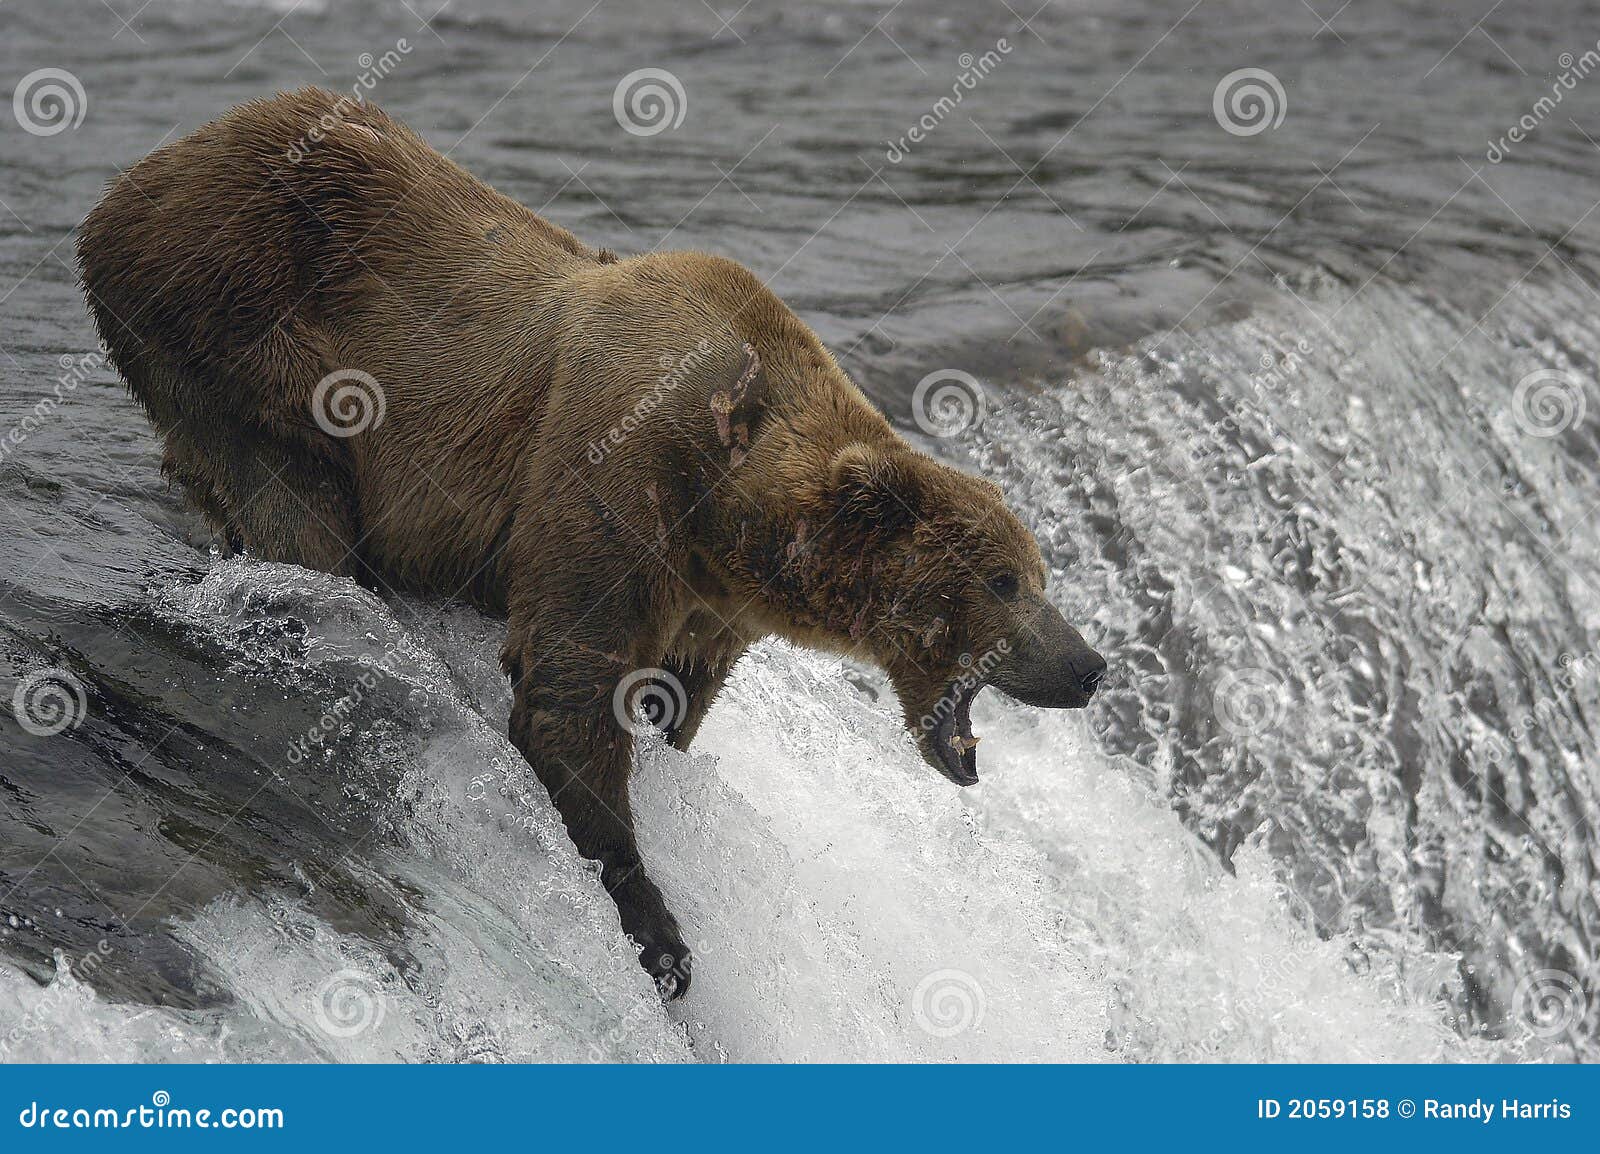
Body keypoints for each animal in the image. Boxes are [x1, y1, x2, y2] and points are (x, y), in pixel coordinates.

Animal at [76, 88, 1107, 998]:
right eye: (1005, 580)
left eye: (1039, 574)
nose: (1088, 665)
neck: (732, 508)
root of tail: (139, 178)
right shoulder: (615, 479)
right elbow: (571, 696)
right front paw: (660, 935)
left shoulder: (710, 600)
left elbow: (671, 701)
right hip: (231, 314)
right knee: (294, 506)